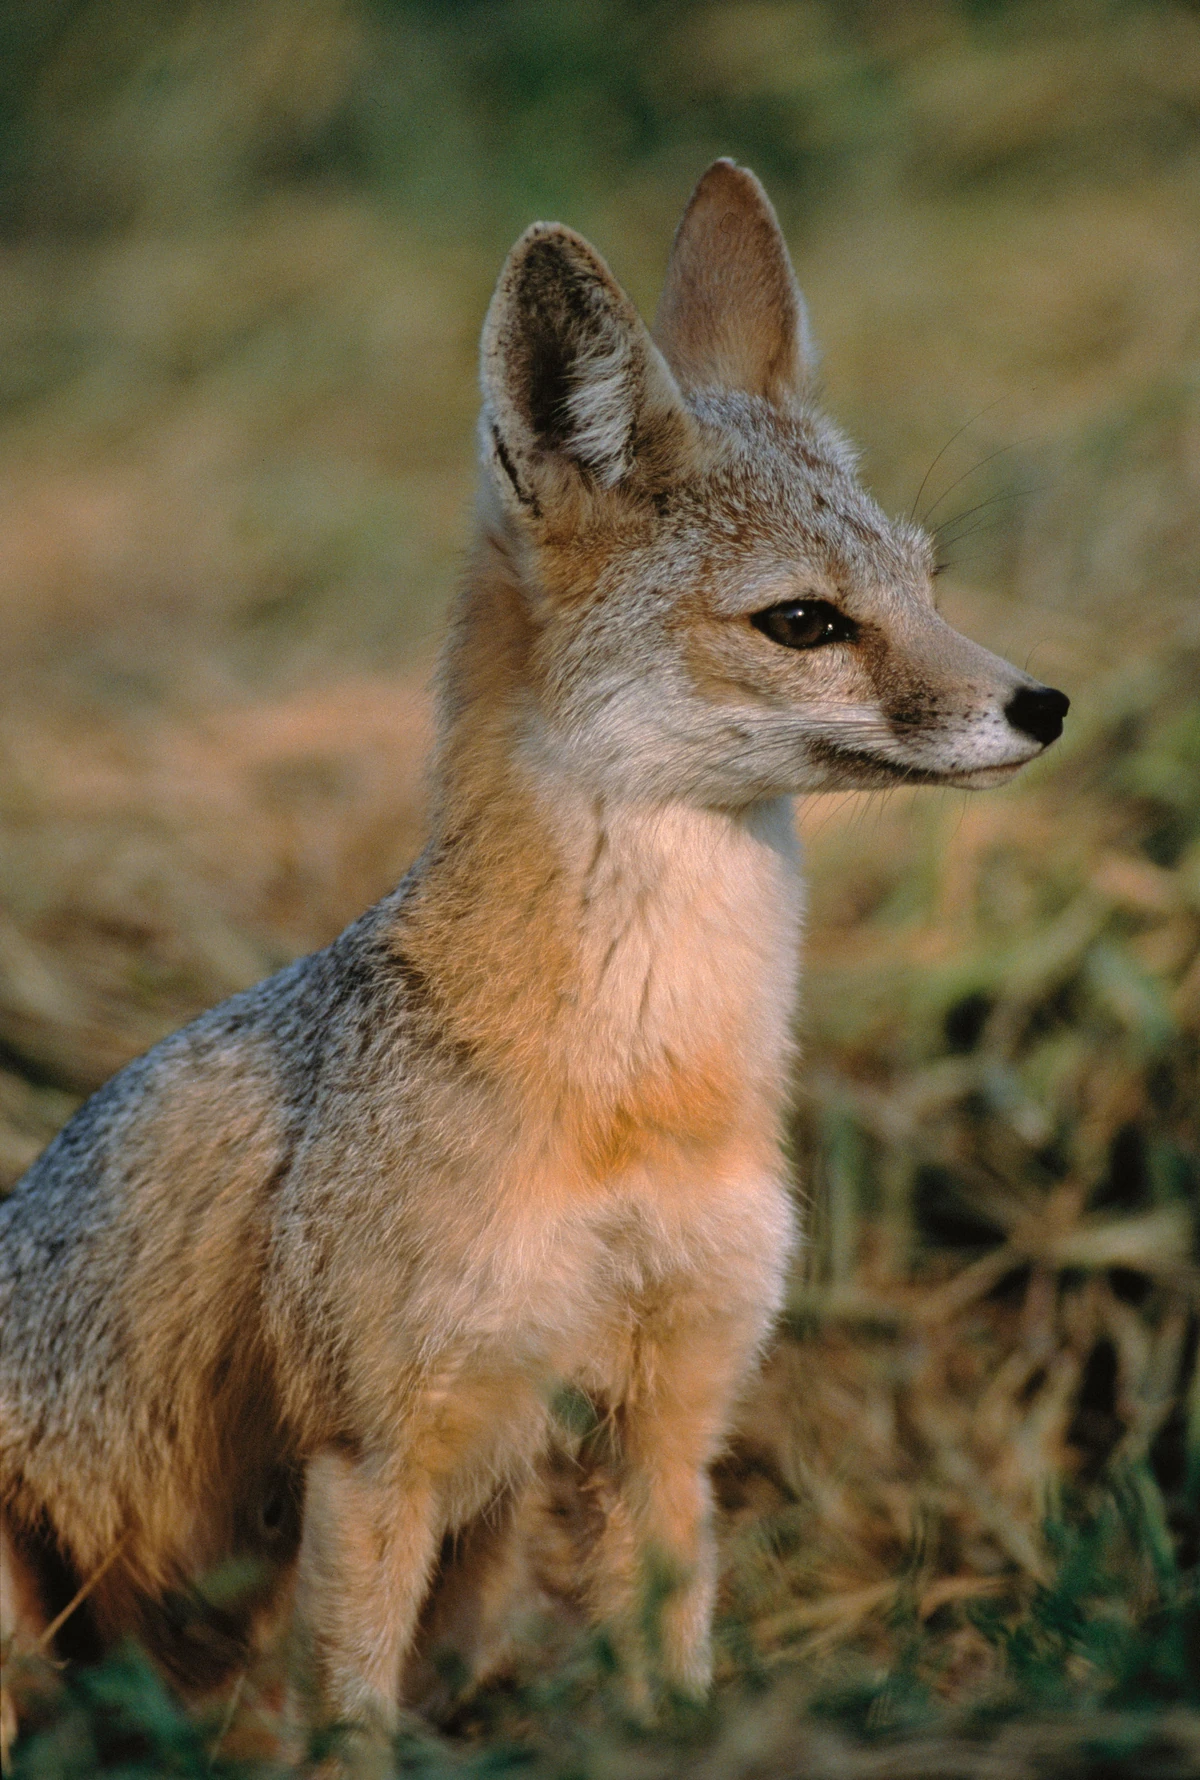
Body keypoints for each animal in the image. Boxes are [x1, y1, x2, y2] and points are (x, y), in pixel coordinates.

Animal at [0, 158, 1068, 1761]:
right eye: (805, 623)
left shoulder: (671, 1420)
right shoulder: (377, 1448)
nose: (1045, 704)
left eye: (932, 583)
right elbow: (352, 1731)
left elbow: (670, 1674)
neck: (638, 1088)